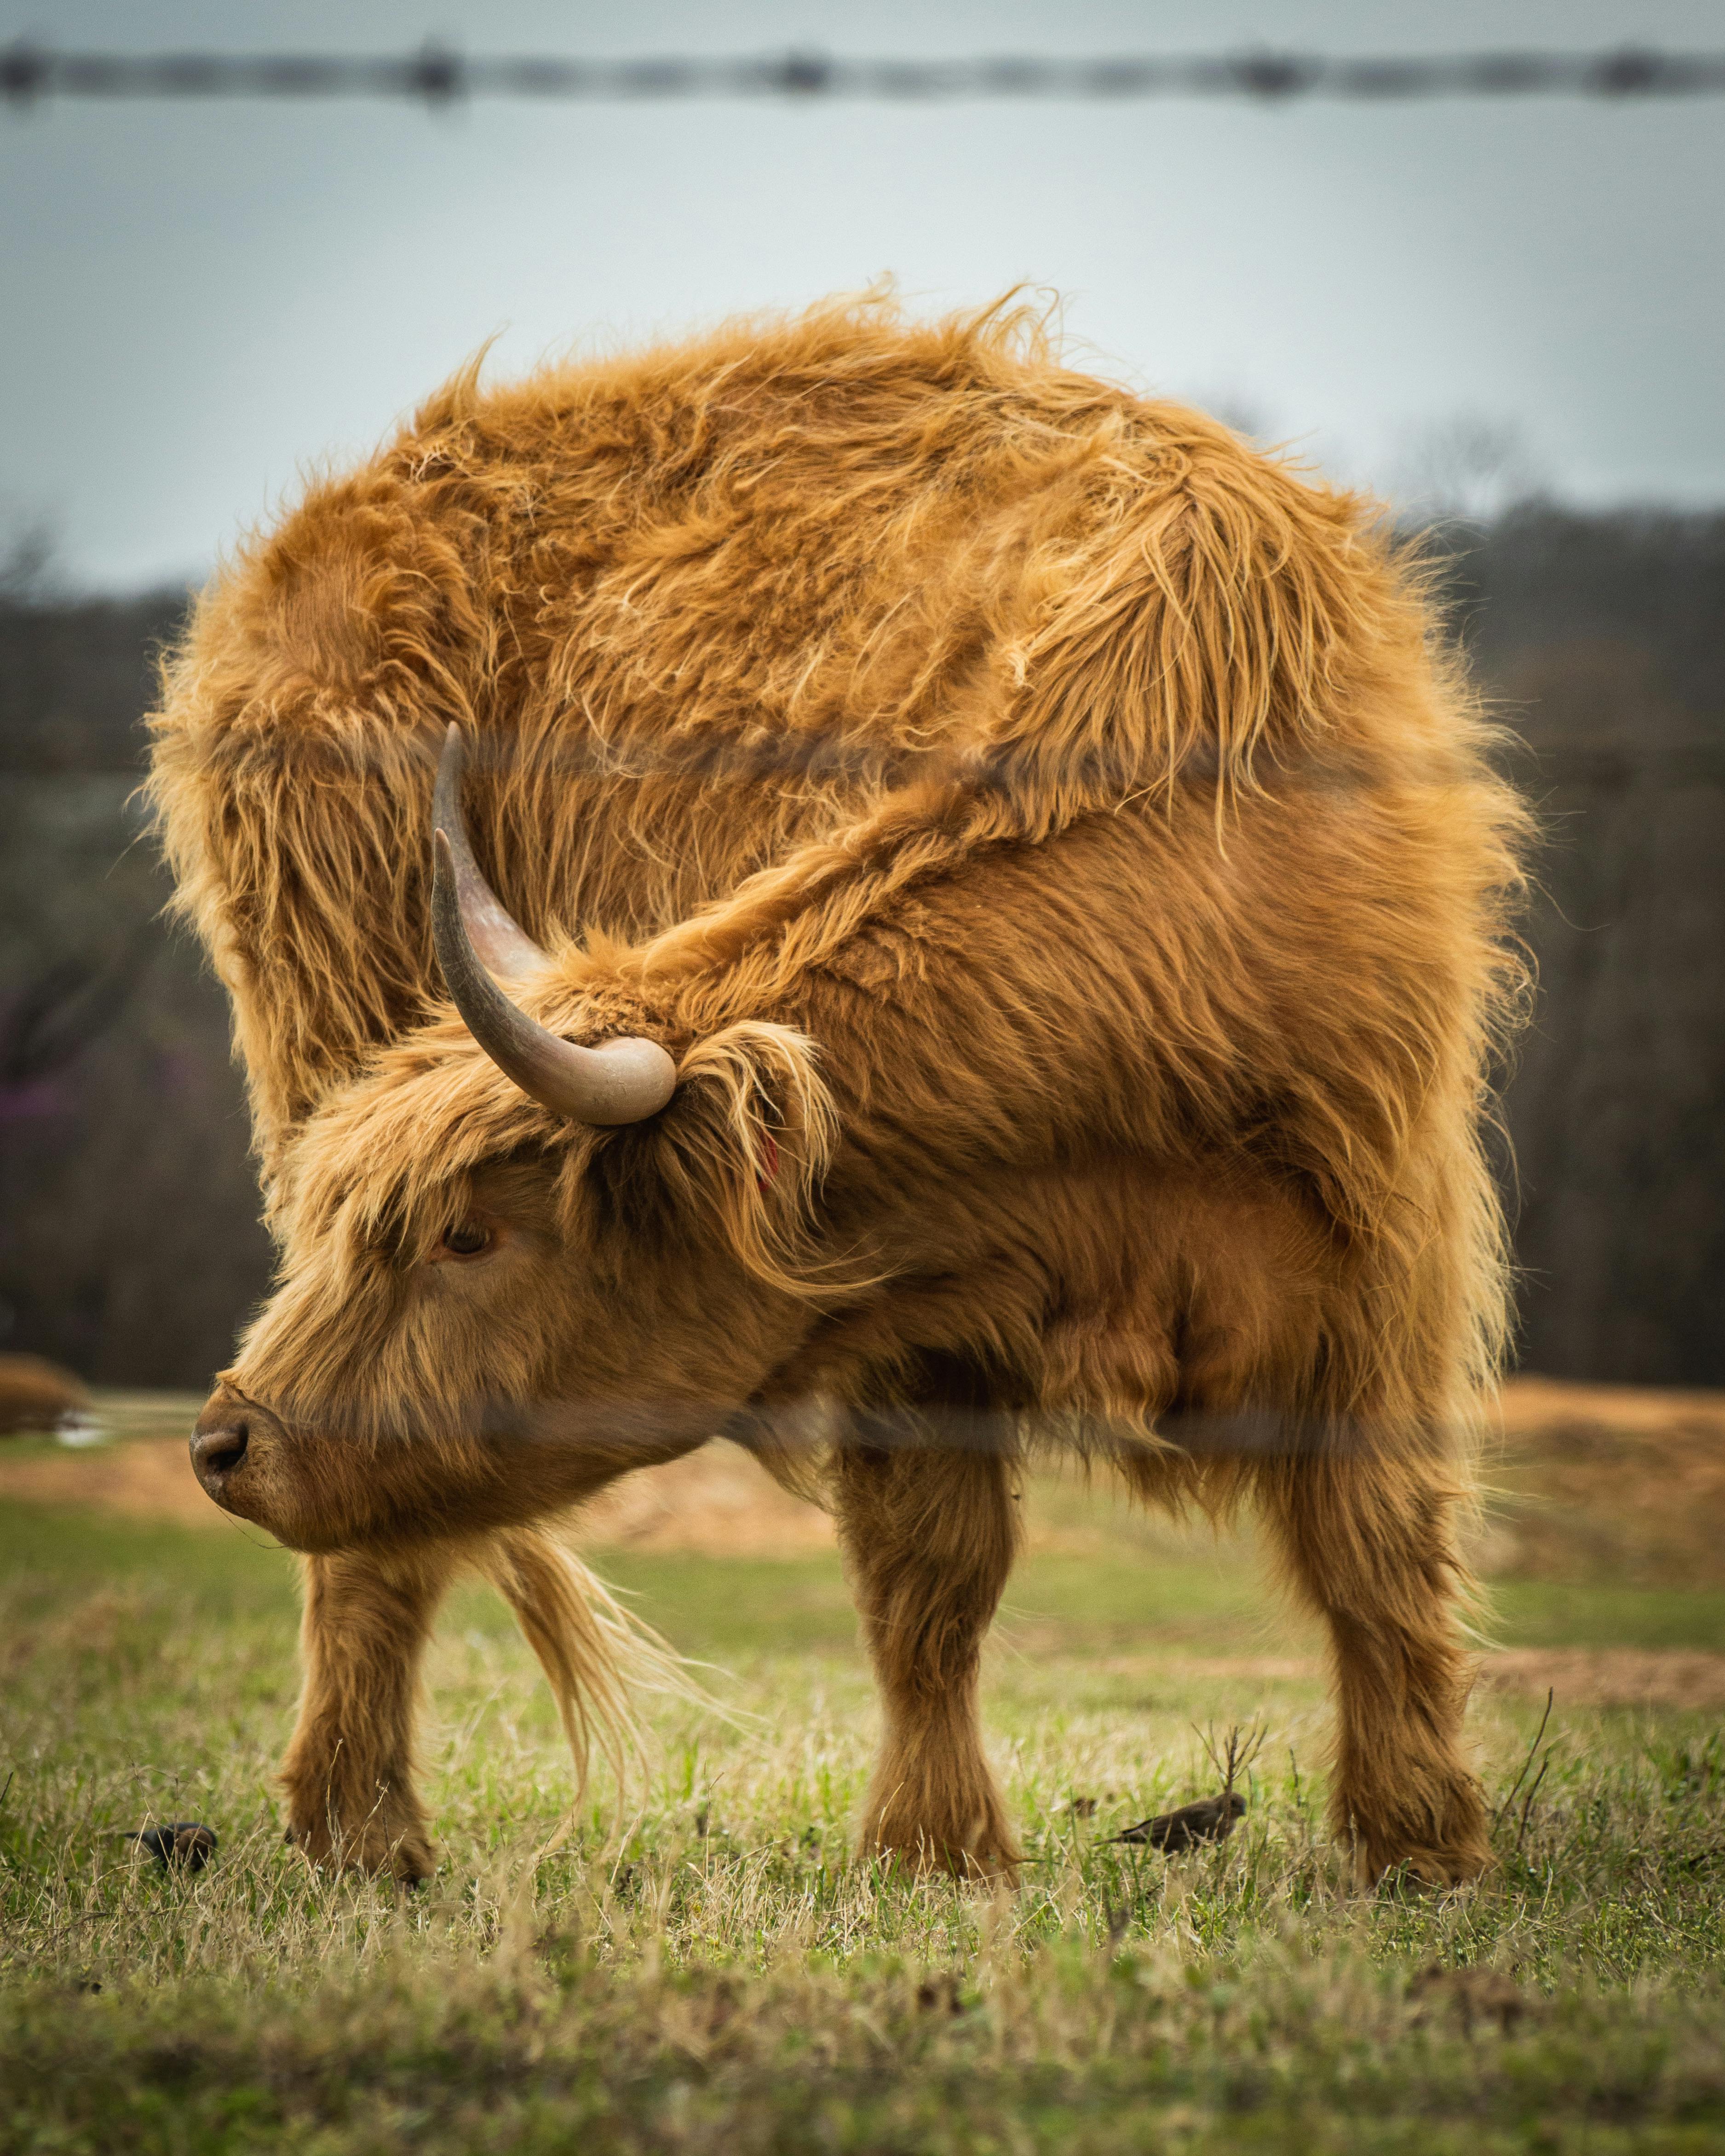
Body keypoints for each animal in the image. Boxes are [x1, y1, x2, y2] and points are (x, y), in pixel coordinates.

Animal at [149, 294, 1526, 1889]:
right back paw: (361, 1829)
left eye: (468, 1234)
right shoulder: (912, 1303)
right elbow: (934, 1577)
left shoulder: (1382, 1239)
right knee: (372, 1549)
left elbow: (1375, 1543)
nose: (224, 1442)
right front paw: (937, 1848)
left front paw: (1415, 1842)